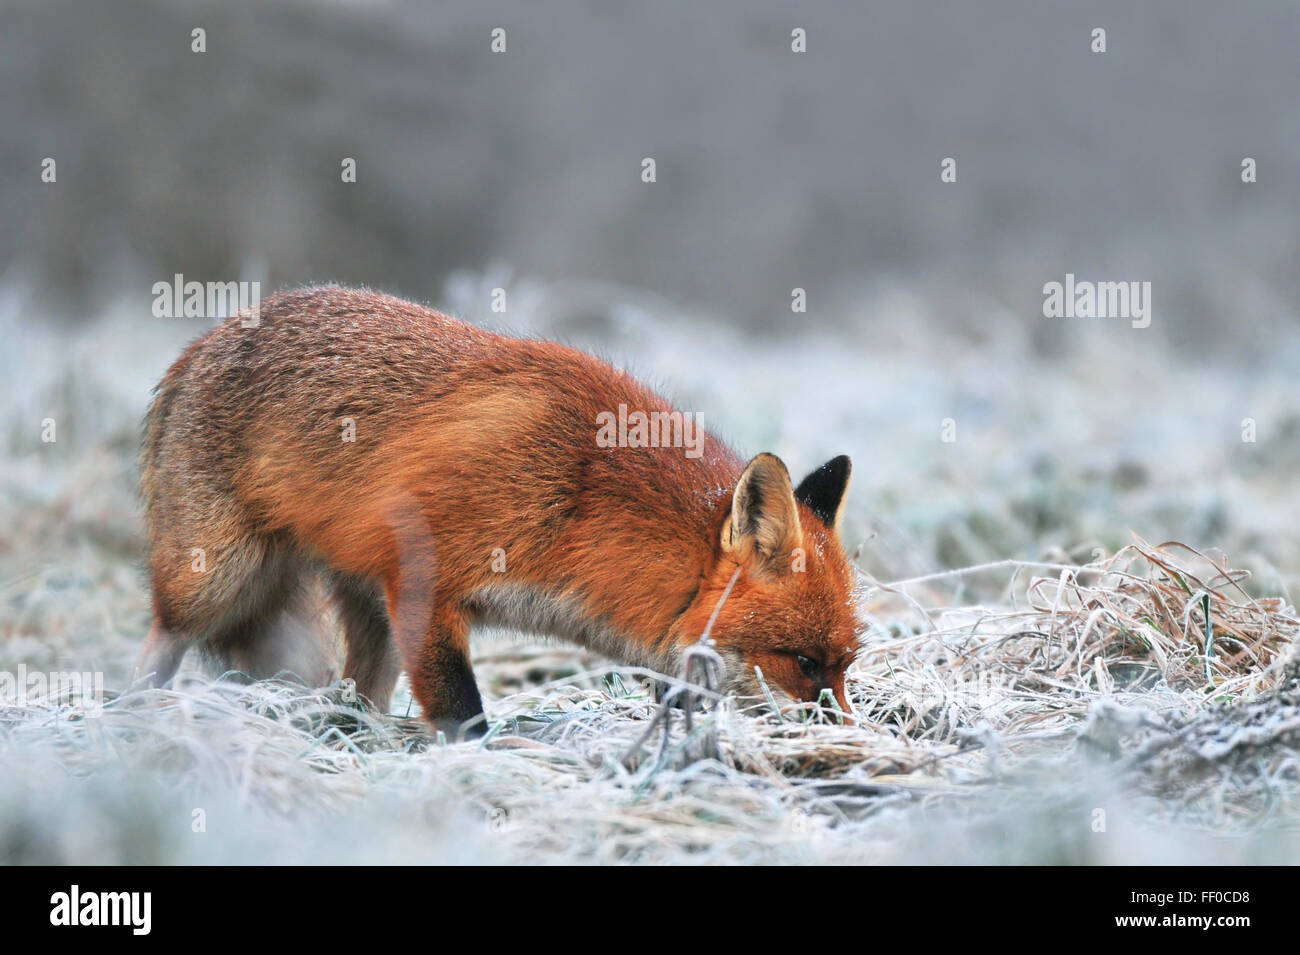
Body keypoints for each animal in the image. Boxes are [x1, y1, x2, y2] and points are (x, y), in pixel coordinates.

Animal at [136, 285, 861, 735]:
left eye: (847, 666)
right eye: (803, 663)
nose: (856, 741)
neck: (584, 497)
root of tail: (200, 343)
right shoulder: (423, 581)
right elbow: (464, 714)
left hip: (368, 614)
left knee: (362, 692)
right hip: (217, 579)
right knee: (161, 639)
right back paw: (132, 718)